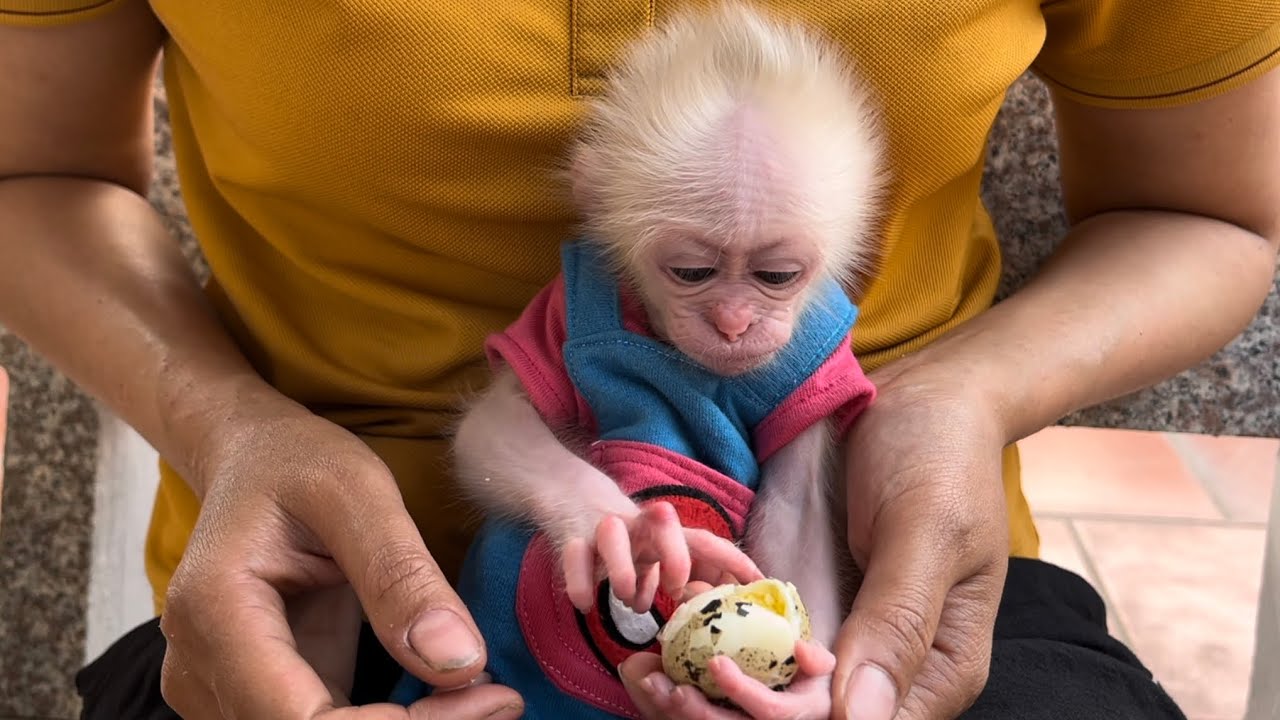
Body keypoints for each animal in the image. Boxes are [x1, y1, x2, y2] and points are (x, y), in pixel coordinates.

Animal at [390, 3, 886, 717]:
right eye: (692, 271)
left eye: (776, 276)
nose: (733, 323)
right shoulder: (563, 311)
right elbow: (495, 426)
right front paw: (619, 529)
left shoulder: (819, 368)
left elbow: (795, 515)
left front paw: (806, 694)